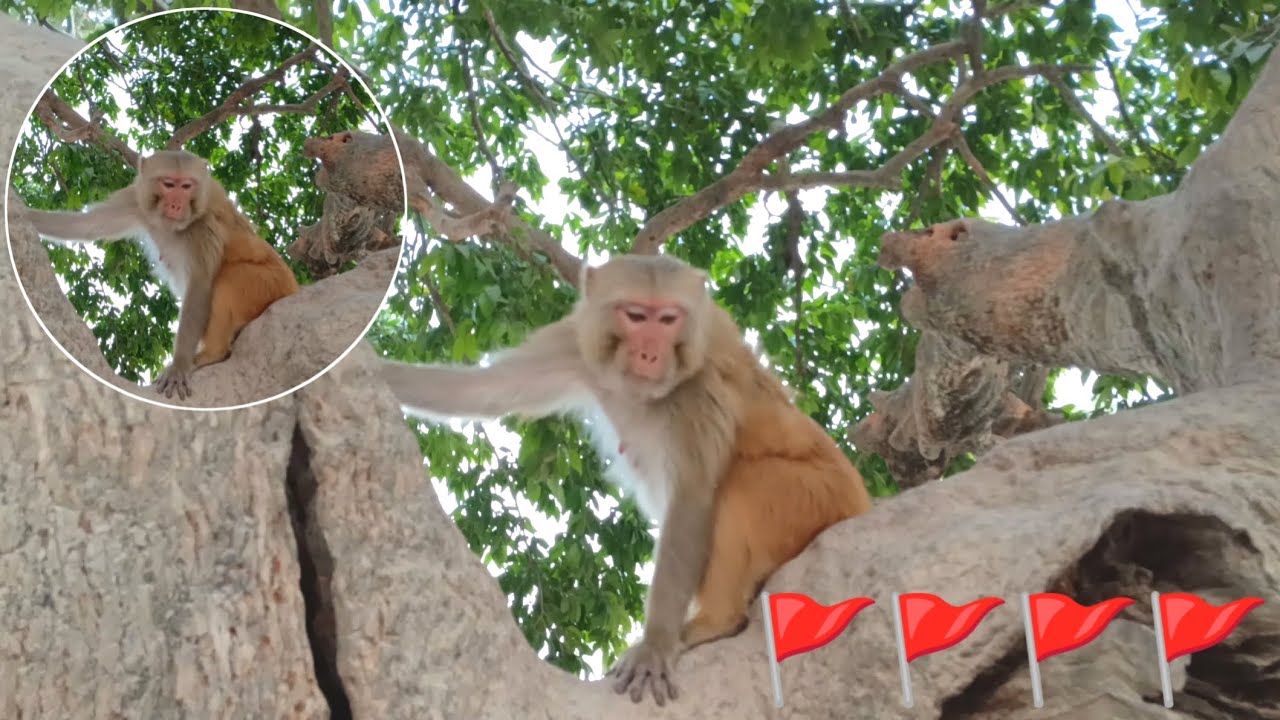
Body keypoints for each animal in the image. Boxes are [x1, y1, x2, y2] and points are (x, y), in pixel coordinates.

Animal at [25, 149, 300, 400]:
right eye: (168, 184)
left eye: (187, 186)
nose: (177, 204)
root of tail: (293, 288)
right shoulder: (135, 202)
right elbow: (86, 226)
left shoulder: (203, 227)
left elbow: (200, 284)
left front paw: (179, 365)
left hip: (268, 284)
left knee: (228, 277)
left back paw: (212, 352)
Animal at [378, 253, 873, 705]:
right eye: (635, 316)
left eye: (668, 319)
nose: (651, 352)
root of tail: (861, 504)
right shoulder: (575, 345)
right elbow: (482, 391)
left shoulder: (698, 391)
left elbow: (693, 497)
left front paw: (656, 644)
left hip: (816, 499)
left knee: (742, 483)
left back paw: (716, 619)